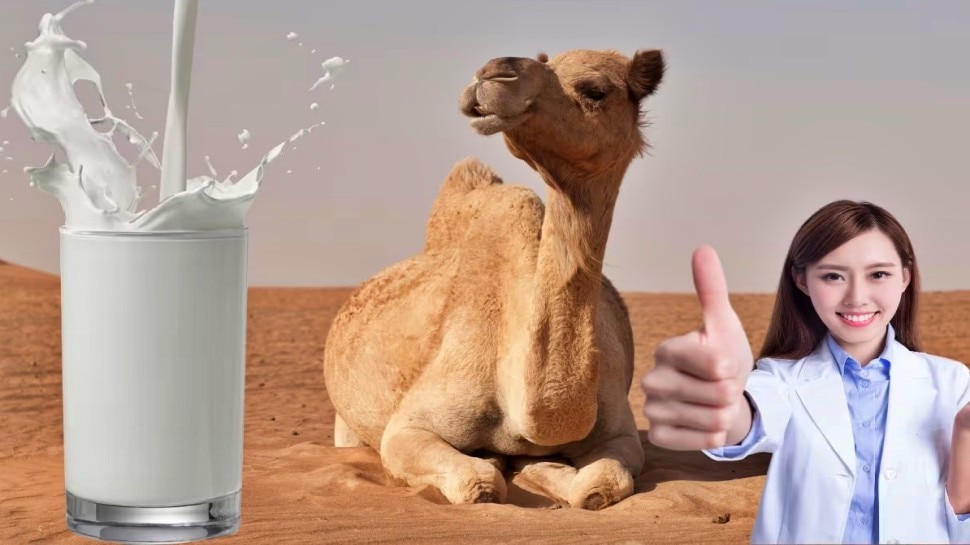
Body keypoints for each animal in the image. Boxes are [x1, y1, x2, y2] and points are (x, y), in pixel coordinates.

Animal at [323, 48, 665, 510]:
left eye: (595, 90)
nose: (493, 73)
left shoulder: (621, 432)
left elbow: (596, 488)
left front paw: (541, 468)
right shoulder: (407, 428)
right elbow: (480, 484)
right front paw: (505, 465)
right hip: (345, 424)